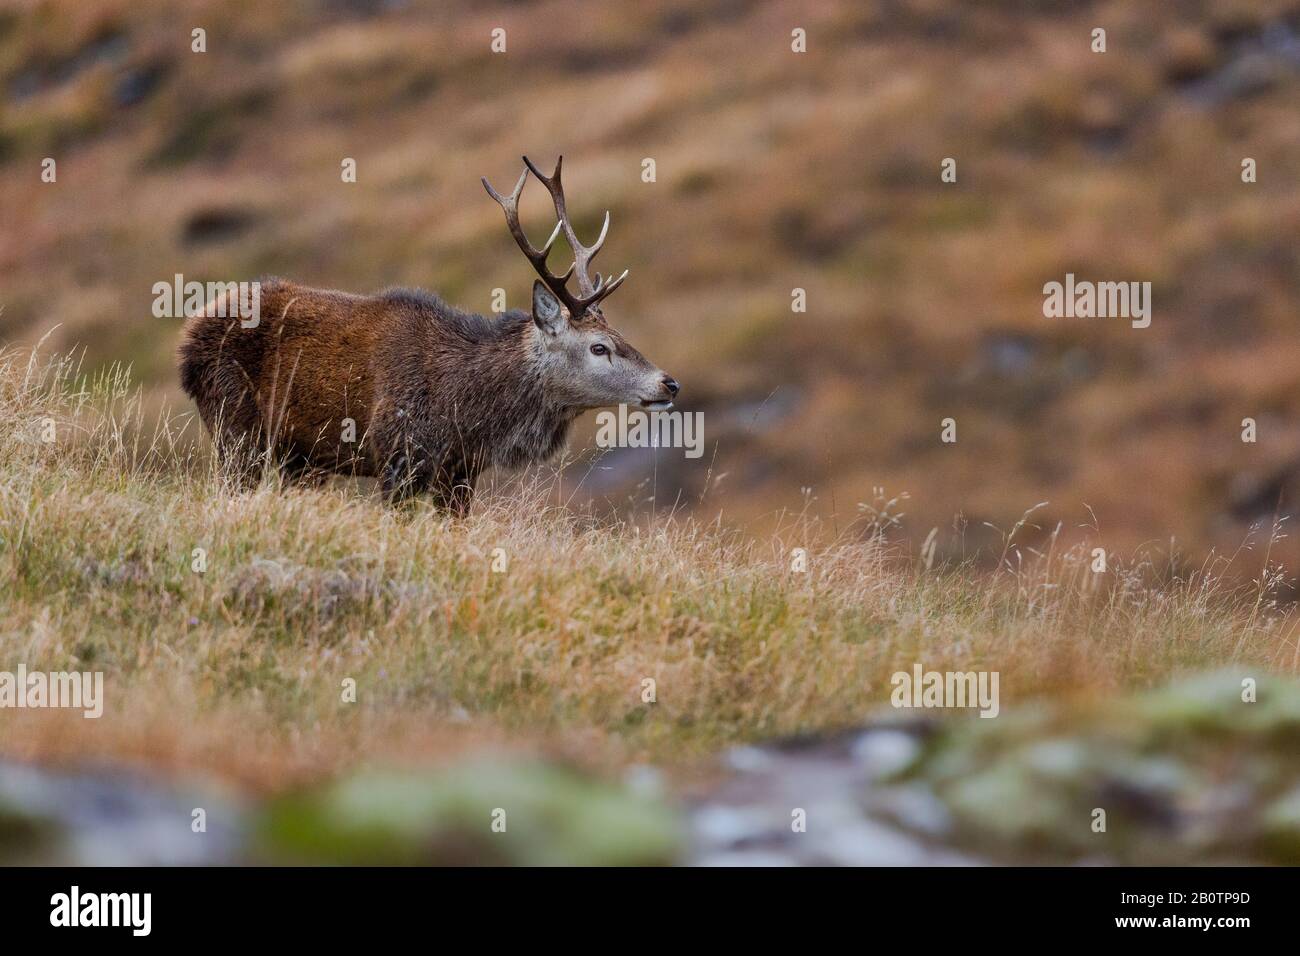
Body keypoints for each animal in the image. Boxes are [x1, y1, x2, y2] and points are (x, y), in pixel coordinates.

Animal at [178, 156, 679, 515]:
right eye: (599, 347)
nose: (669, 383)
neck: (467, 411)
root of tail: (188, 338)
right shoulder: (397, 458)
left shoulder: (459, 474)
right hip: (235, 428)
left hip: (299, 460)